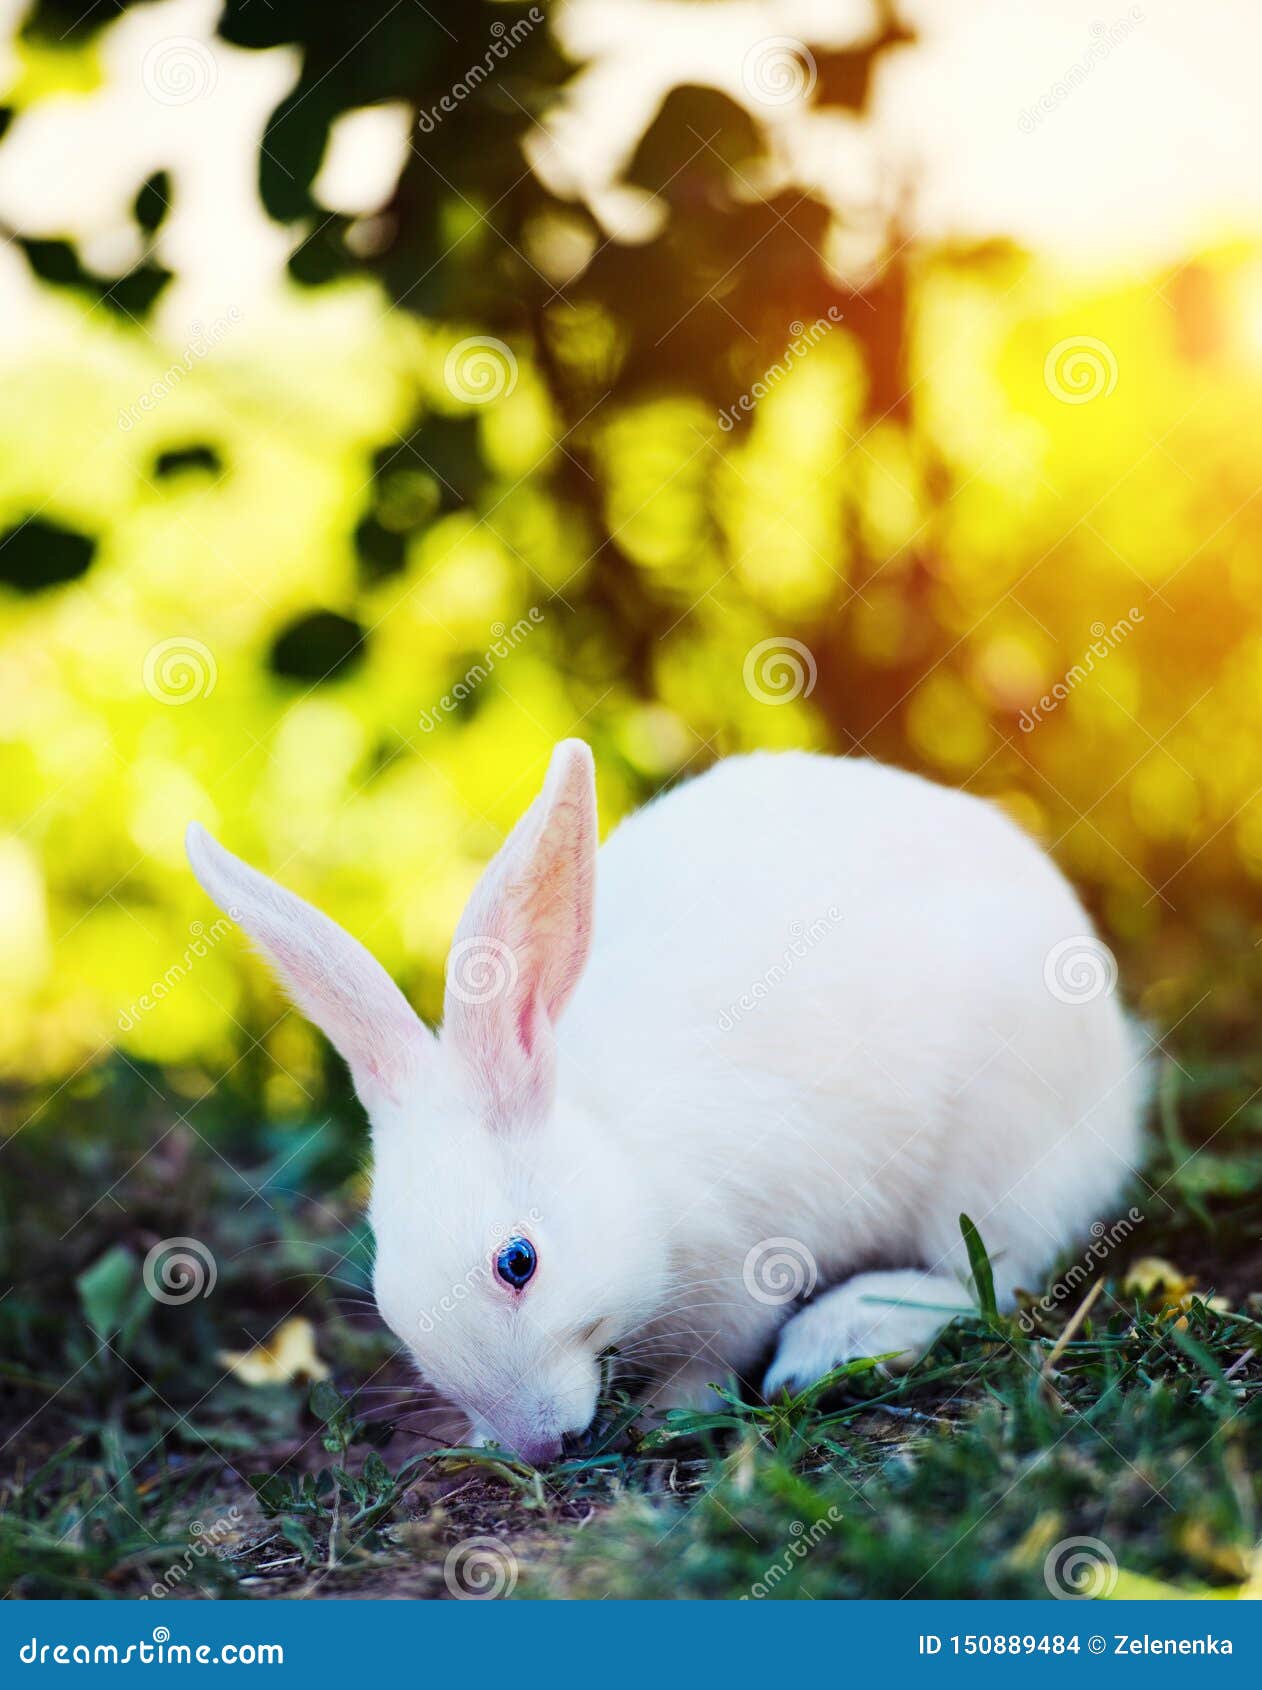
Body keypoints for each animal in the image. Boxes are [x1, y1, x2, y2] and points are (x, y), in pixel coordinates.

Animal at [186, 739, 1148, 1464]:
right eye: (384, 1281)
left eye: (518, 1263)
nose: (537, 1447)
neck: (627, 1168)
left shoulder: (745, 1263)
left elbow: (714, 1354)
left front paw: (670, 1413)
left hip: (997, 1152)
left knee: (993, 1278)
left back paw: (840, 1338)